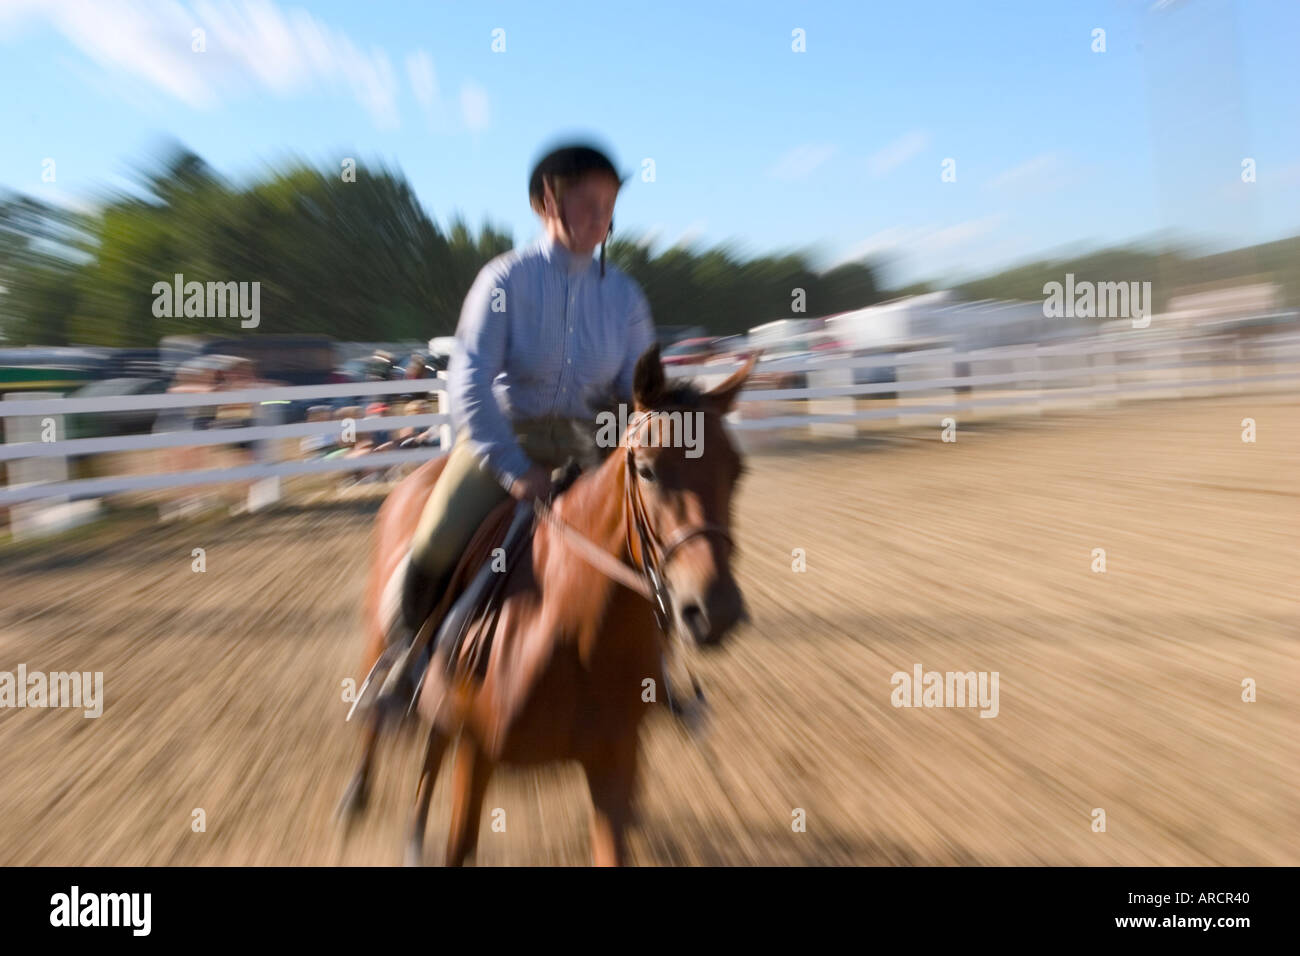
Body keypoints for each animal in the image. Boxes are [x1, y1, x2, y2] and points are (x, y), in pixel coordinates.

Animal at [341, 345, 756, 865]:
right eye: (646, 469)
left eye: (737, 471)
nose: (714, 611)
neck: (571, 634)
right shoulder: (476, 755)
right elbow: (459, 843)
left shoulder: (614, 762)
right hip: (383, 635)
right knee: (375, 703)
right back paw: (355, 794)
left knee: (430, 745)